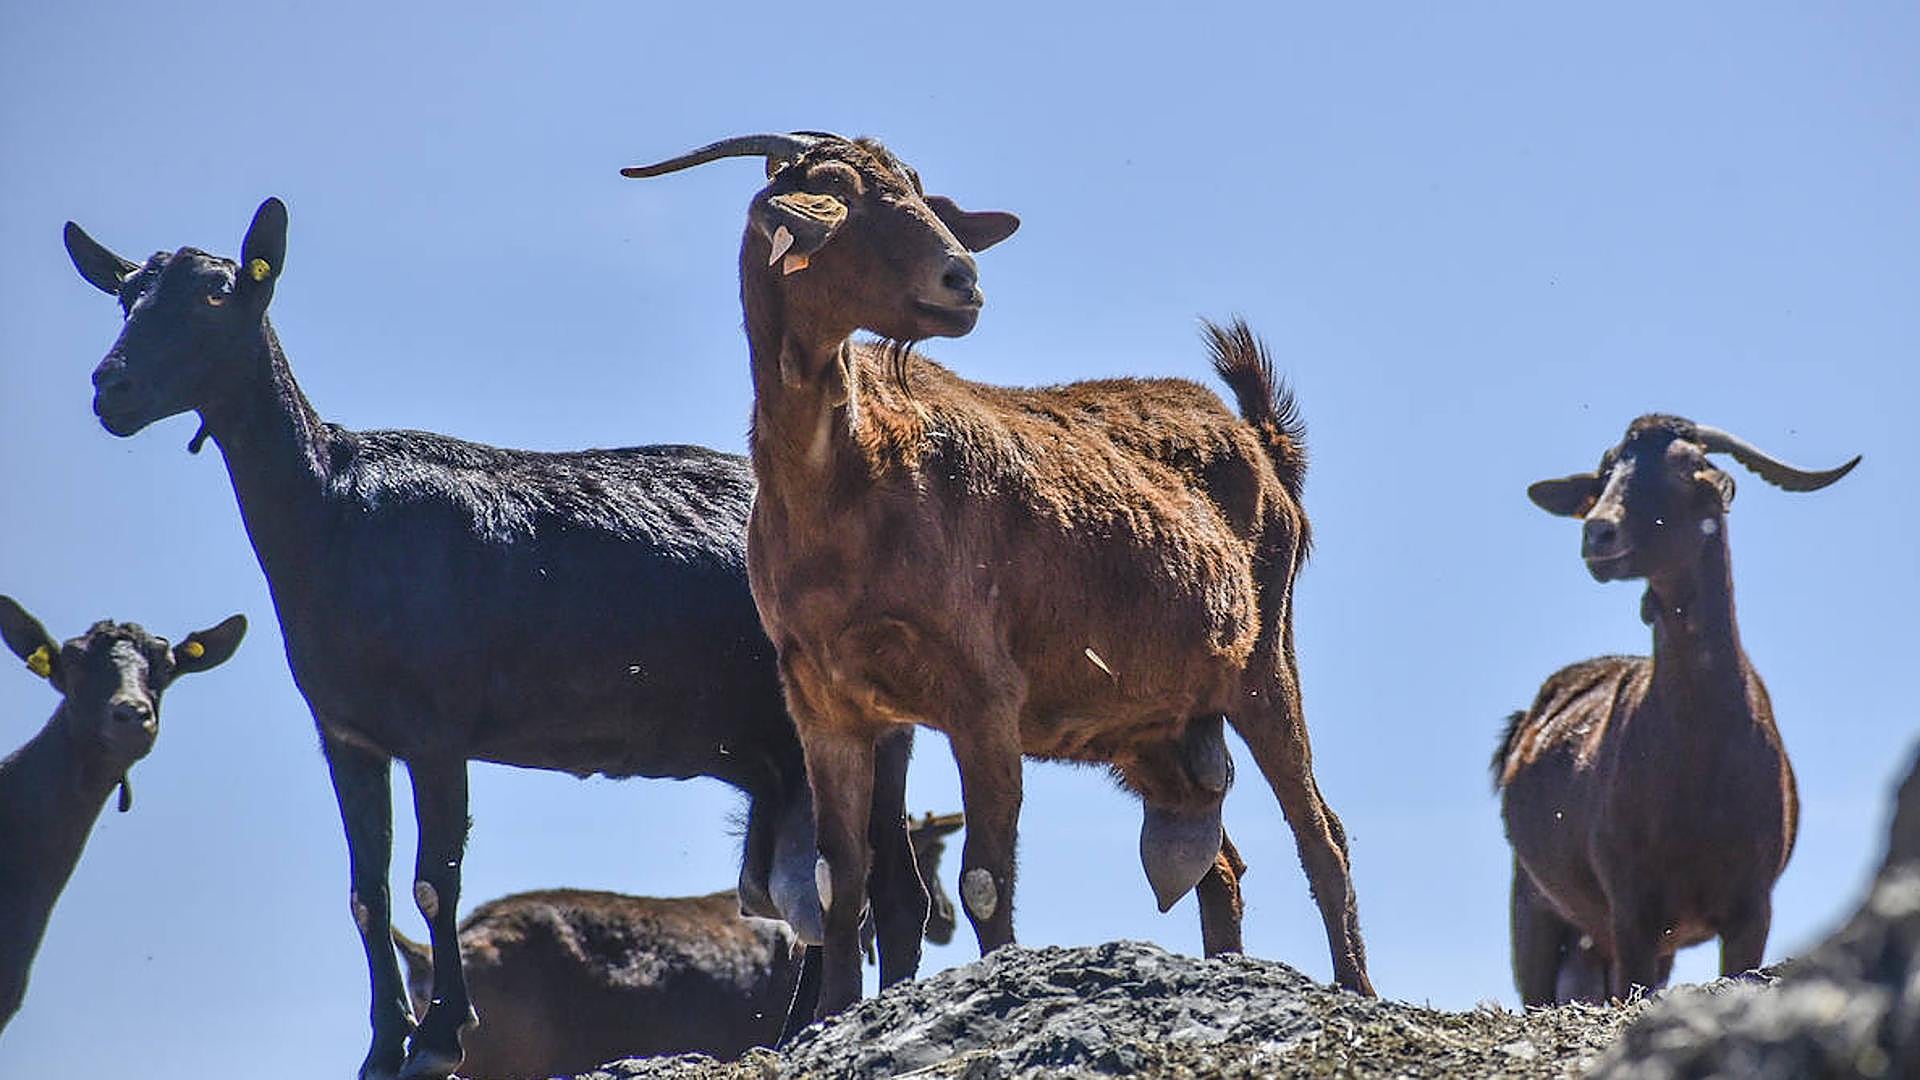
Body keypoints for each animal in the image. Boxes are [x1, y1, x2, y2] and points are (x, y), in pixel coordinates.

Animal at [621, 132, 1372, 1016]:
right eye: (836, 198)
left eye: (917, 194)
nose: (962, 281)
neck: (846, 478)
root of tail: (1263, 443)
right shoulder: (825, 702)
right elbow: (842, 881)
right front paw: (835, 1014)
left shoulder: (983, 693)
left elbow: (985, 878)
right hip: (1159, 726)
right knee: (1219, 860)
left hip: (1263, 659)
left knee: (1321, 833)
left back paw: (1356, 985)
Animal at [1494, 414, 1858, 1004]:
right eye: (1605, 473)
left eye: (1686, 469)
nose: (1597, 533)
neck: (1698, 762)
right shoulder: (1631, 907)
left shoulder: (1751, 906)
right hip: (1534, 903)